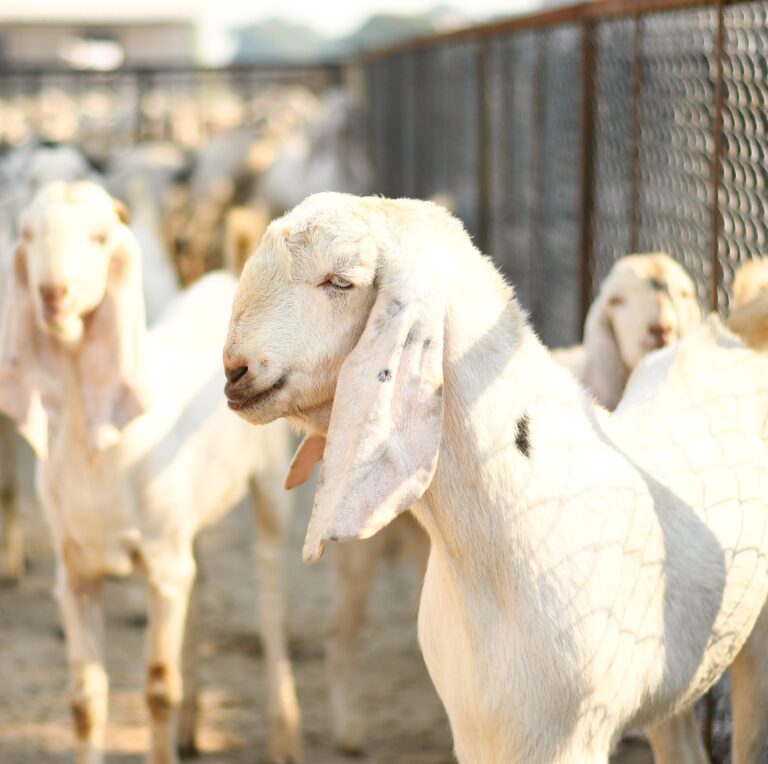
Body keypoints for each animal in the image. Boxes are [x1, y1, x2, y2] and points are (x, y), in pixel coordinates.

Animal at [0, 181, 301, 764]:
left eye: (99, 238)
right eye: (27, 234)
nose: (52, 294)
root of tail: (225, 276)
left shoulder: (161, 563)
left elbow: (158, 688)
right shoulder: (76, 571)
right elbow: (84, 701)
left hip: (271, 484)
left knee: (272, 600)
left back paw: (284, 734)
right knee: (200, 586)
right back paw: (192, 729)